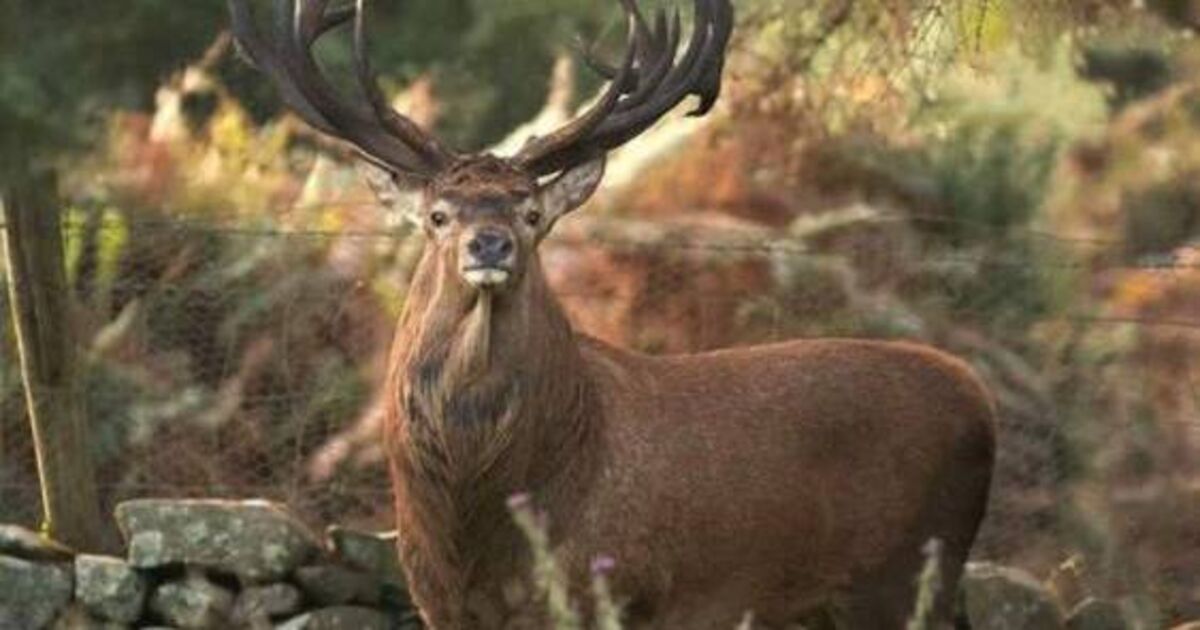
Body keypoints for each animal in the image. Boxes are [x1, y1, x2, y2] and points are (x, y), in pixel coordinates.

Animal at [228, 0, 996, 628]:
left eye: (532, 214)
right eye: (439, 215)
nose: (490, 243)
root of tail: (978, 398)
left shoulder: (623, 593)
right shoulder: (438, 603)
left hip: (905, 575)